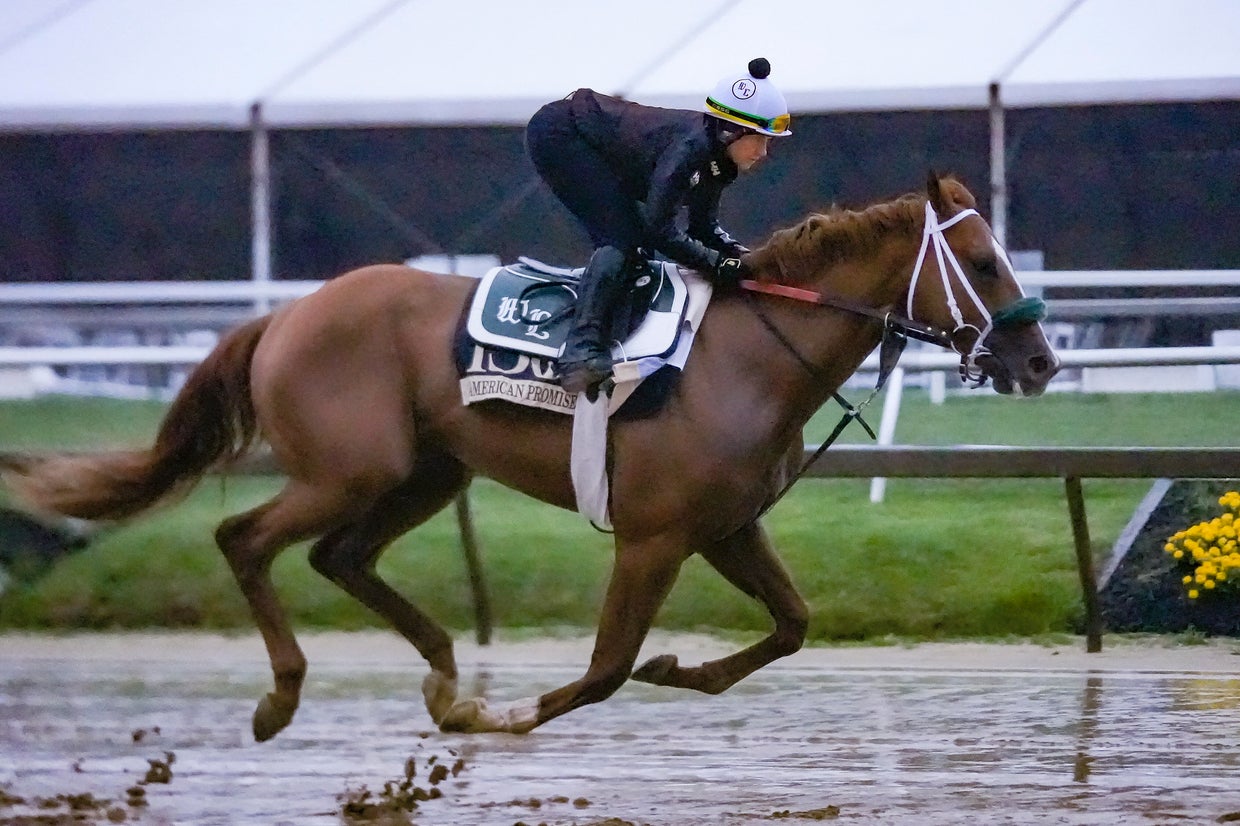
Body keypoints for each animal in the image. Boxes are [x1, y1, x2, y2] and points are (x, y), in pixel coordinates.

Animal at [0, 173, 1059, 740]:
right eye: (984, 262)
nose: (1041, 360)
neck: (749, 356)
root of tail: (290, 312)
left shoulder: (723, 526)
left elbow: (792, 626)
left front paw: (677, 670)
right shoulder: (654, 536)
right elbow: (602, 670)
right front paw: (500, 719)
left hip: (428, 472)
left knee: (338, 556)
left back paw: (439, 674)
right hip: (351, 469)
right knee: (244, 539)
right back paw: (286, 696)